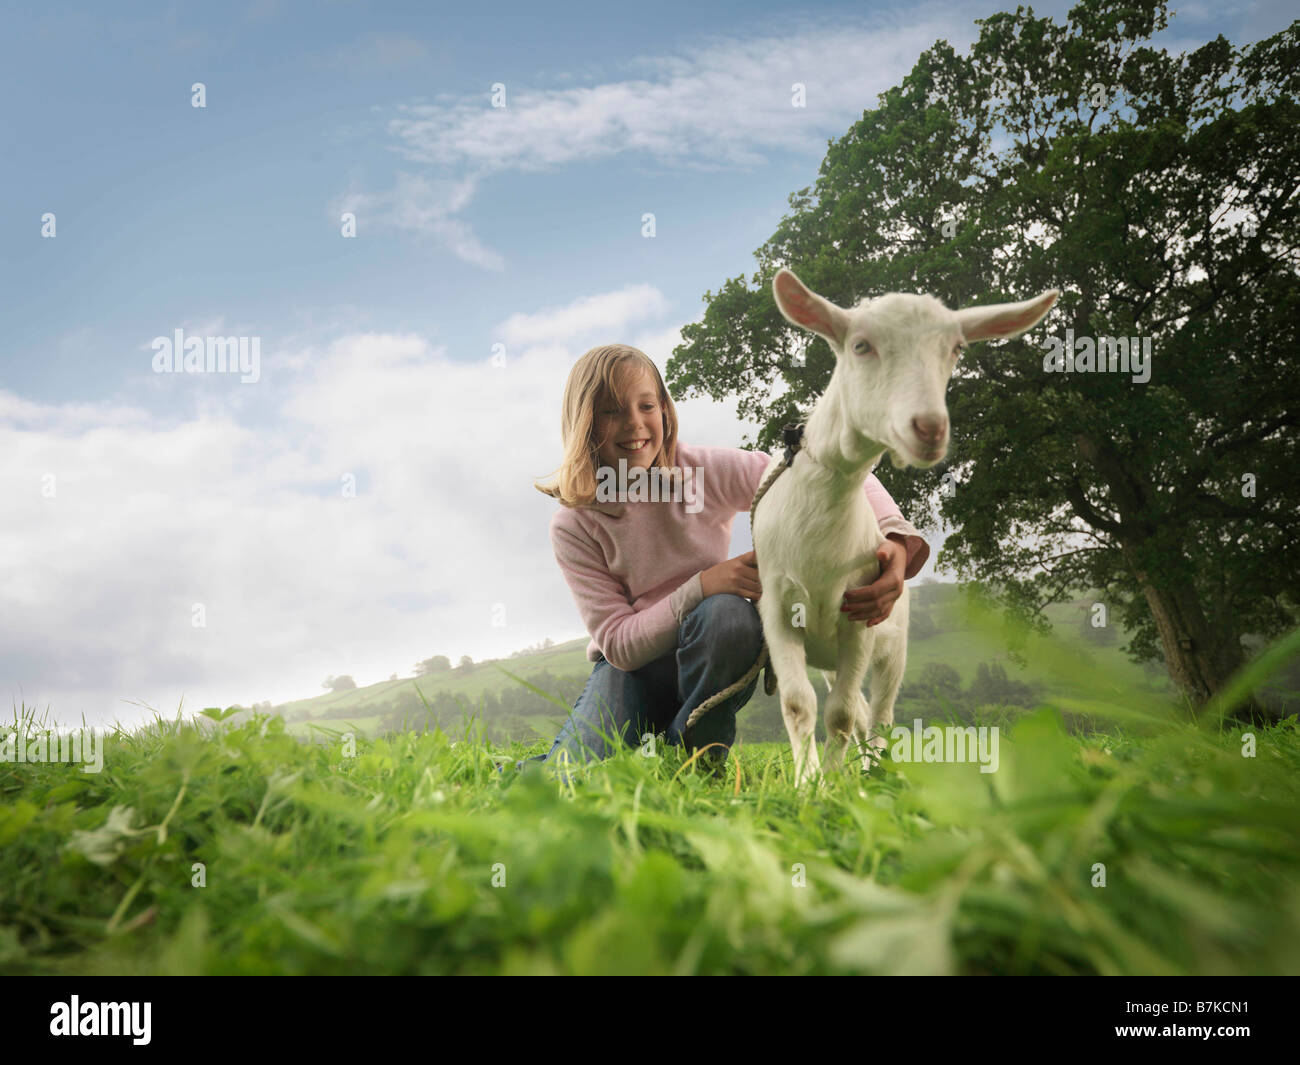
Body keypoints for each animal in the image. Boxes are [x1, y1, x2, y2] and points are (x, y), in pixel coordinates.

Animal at [754, 268, 1058, 788]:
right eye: (860, 345)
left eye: (956, 349)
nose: (929, 428)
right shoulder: (776, 607)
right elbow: (799, 705)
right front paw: (807, 785)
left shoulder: (859, 613)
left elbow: (839, 716)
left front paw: (831, 786)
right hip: (831, 656)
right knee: (857, 707)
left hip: (892, 649)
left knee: (877, 714)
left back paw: (876, 772)